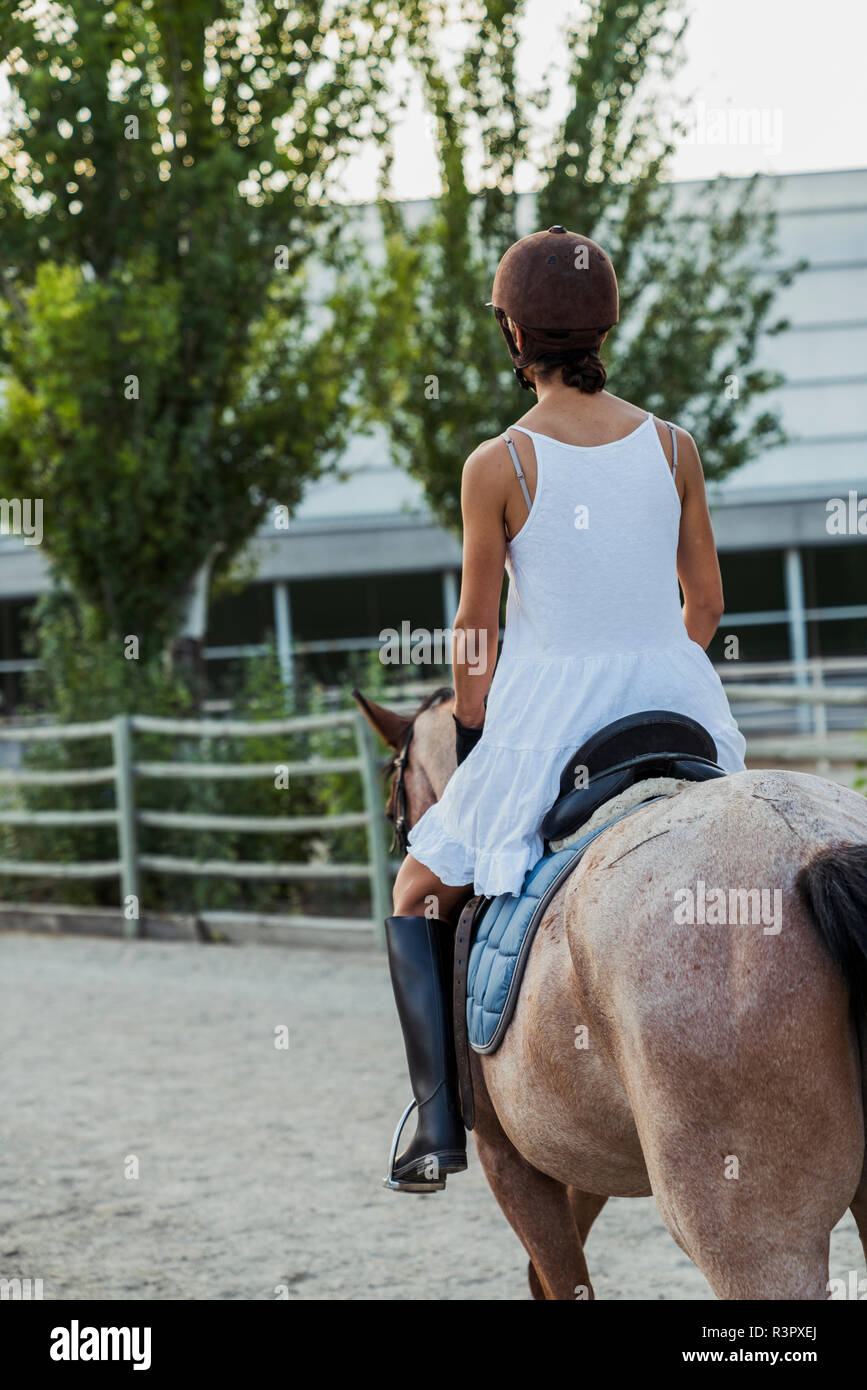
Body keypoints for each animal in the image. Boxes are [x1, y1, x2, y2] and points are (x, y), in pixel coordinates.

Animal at [355, 686, 867, 1300]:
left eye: (394, 791)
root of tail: (811, 845)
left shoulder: (510, 1160)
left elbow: (559, 1279)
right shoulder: (583, 1147)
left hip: (755, 1238)